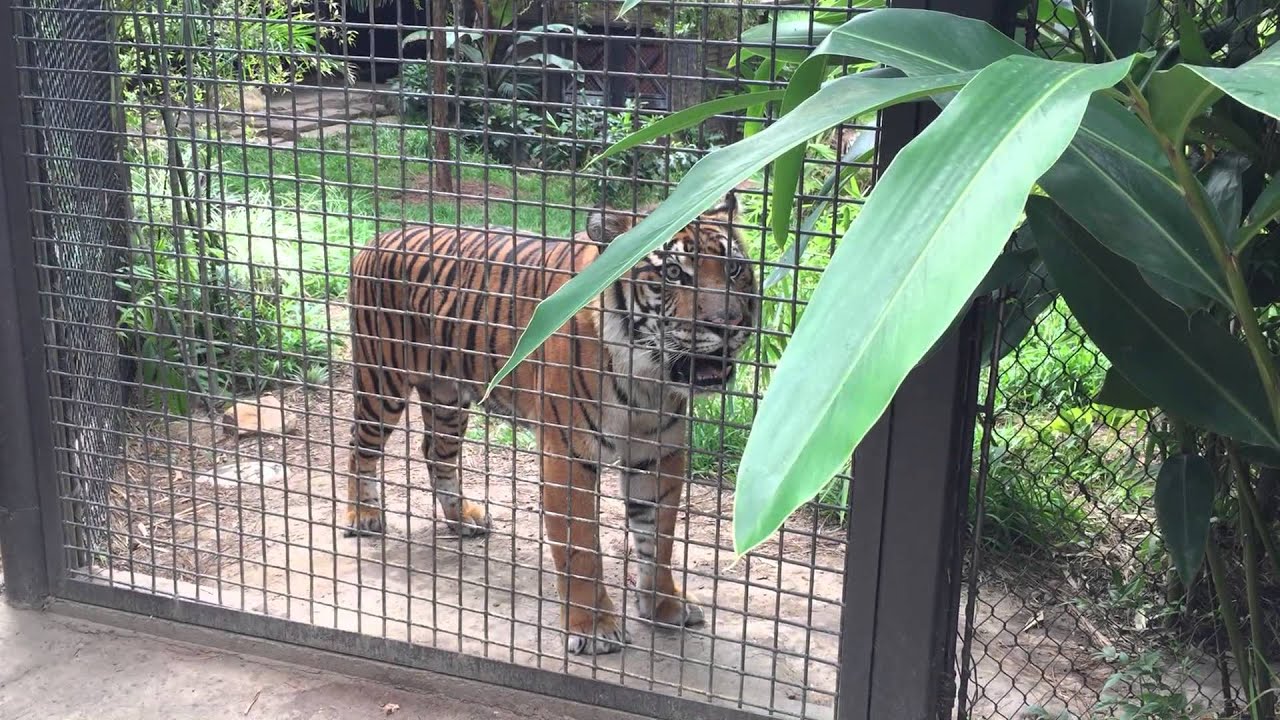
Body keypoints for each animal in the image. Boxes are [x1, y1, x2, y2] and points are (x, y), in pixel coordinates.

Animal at [342, 192, 757, 655]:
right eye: (672, 273)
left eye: (734, 268)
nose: (730, 325)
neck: (648, 375)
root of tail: (379, 237)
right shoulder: (568, 455)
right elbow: (581, 548)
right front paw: (593, 627)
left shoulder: (658, 455)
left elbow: (658, 538)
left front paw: (664, 605)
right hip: (382, 383)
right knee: (360, 447)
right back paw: (363, 515)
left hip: (448, 397)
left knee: (436, 453)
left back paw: (463, 518)